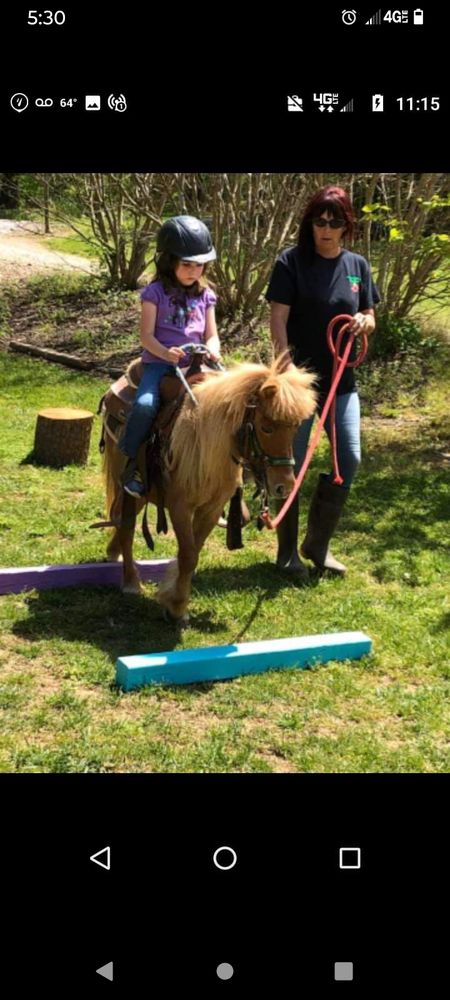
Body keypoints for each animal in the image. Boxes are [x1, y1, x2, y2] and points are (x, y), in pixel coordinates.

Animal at [102, 354, 317, 622]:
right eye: (266, 427)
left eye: (296, 427)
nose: (284, 486)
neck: (205, 440)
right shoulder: (180, 506)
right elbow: (188, 555)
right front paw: (176, 606)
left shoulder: (211, 510)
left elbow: (194, 552)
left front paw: (176, 602)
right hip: (126, 483)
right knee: (126, 524)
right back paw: (131, 581)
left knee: (121, 520)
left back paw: (114, 553)